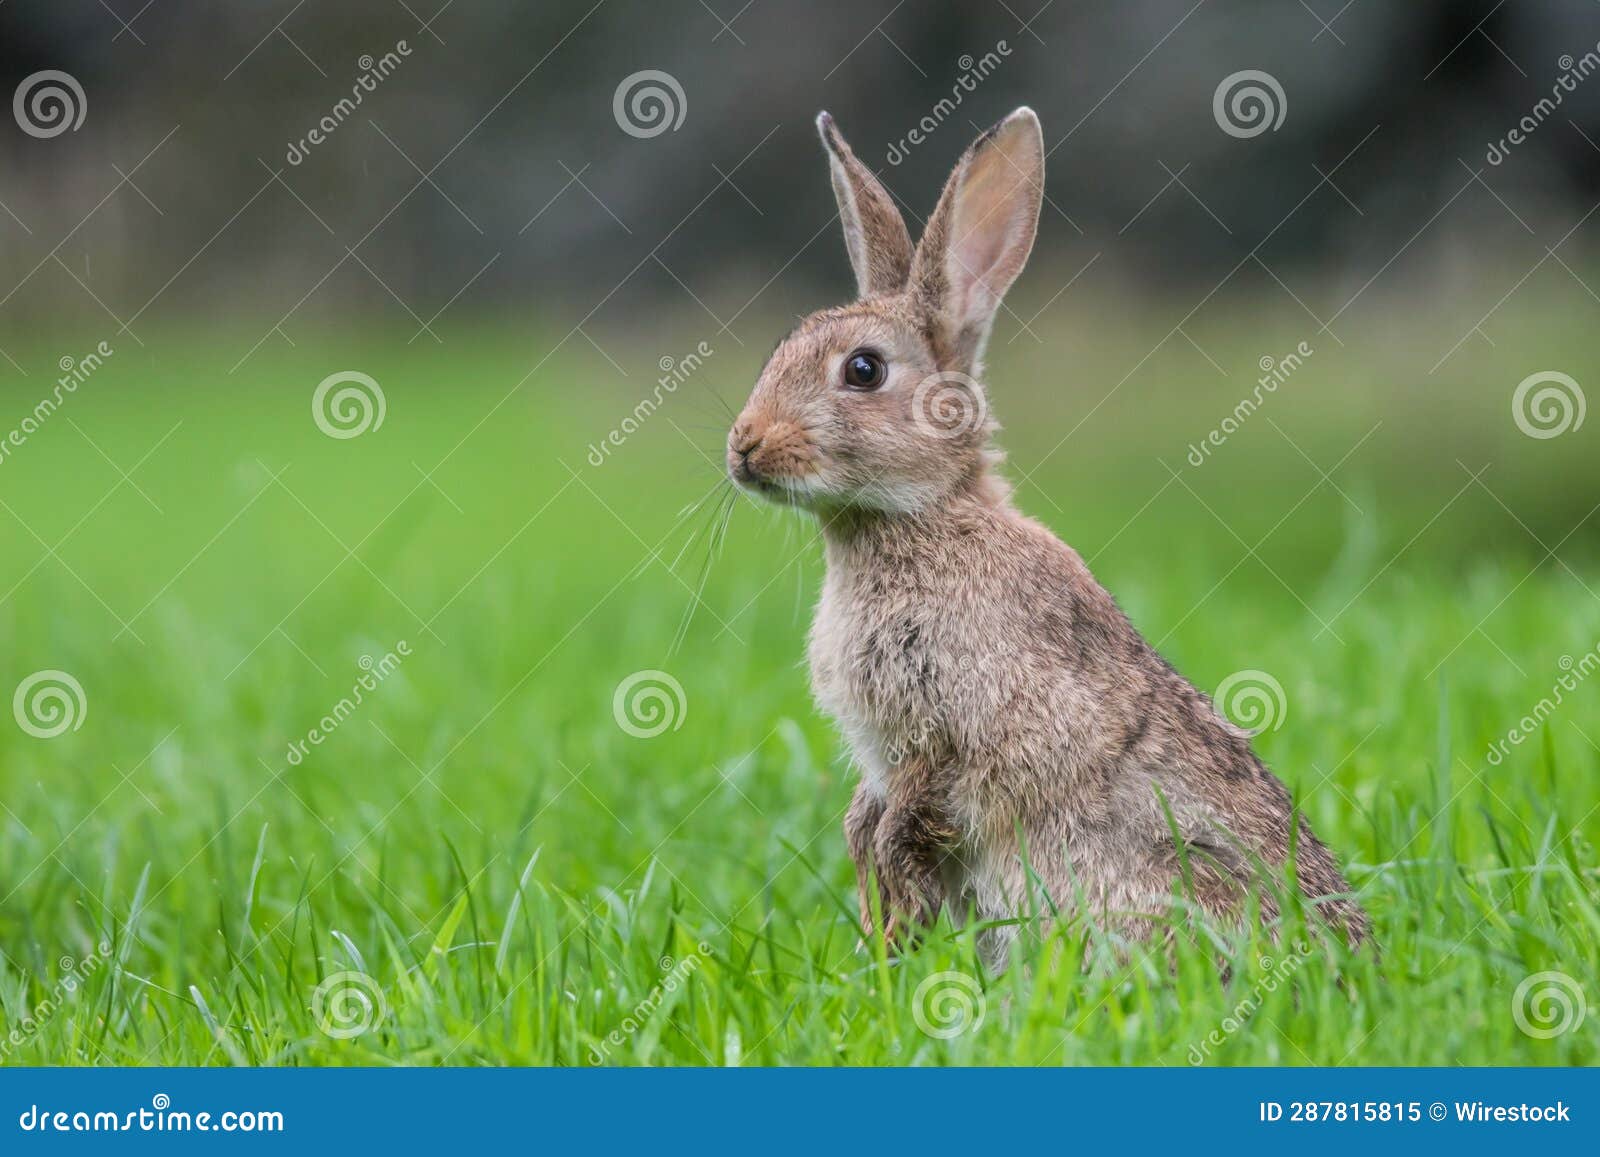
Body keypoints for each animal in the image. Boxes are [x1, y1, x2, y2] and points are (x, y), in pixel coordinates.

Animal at [725, 107, 1368, 967]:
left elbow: (926, 802)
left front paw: (890, 890)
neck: (923, 517)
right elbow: (872, 810)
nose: (744, 446)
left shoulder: (969, 728)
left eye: (863, 370)